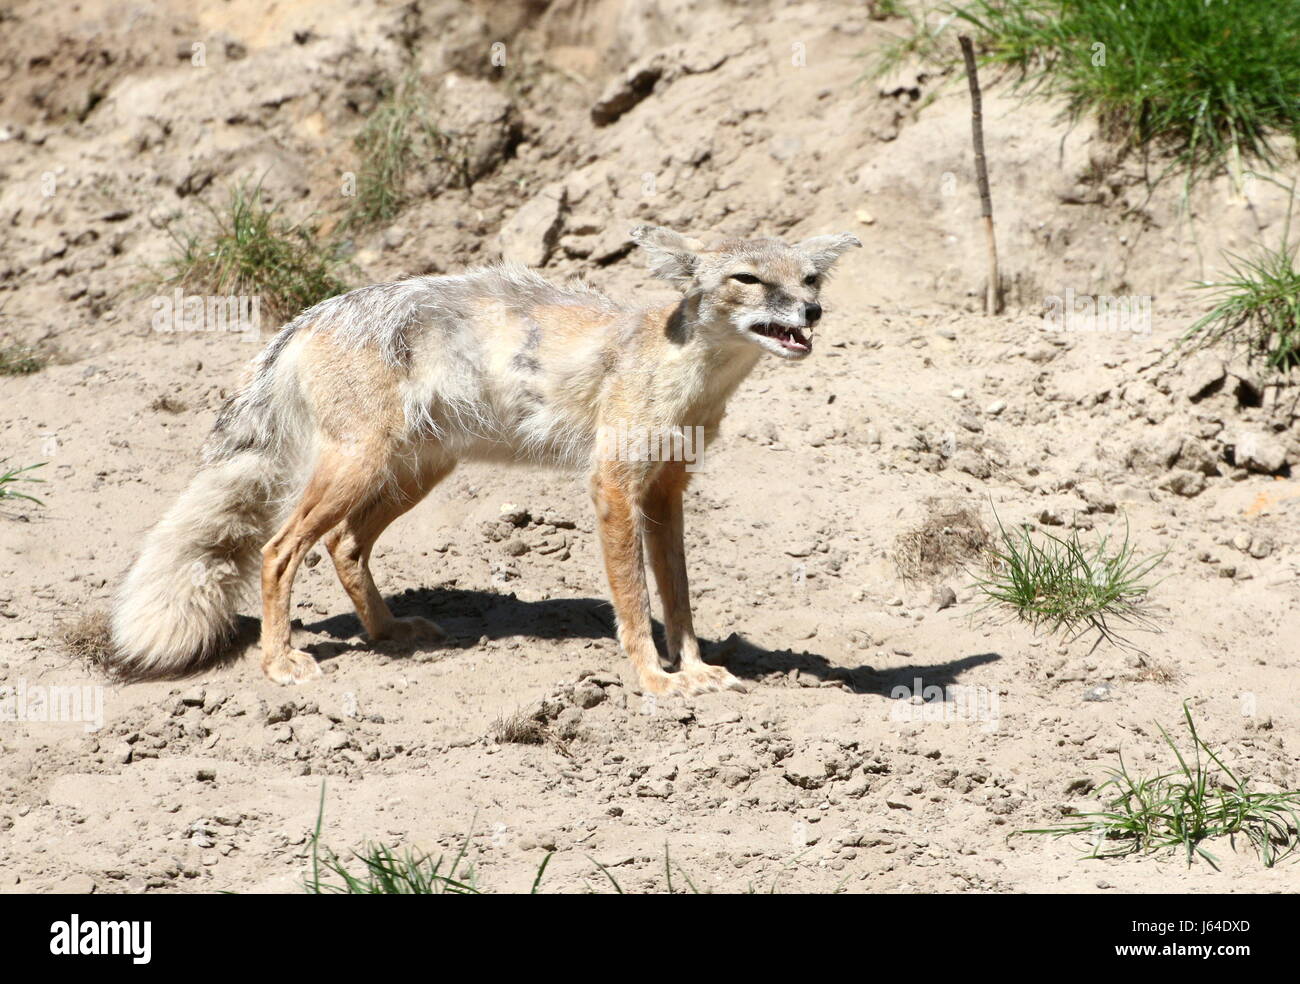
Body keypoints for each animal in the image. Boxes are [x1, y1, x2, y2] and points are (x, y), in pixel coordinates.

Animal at [108, 225, 860, 696]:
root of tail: (316, 310)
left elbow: (677, 601)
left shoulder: (665, 492)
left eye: (809, 278)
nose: (814, 311)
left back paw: (388, 633)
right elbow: (635, 601)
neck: (687, 380)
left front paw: (696, 670)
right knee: (278, 549)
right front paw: (654, 679)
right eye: (748, 279)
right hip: (360, 468)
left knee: (343, 544)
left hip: (411, 475)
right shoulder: (613, 488)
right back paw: (279, 661)